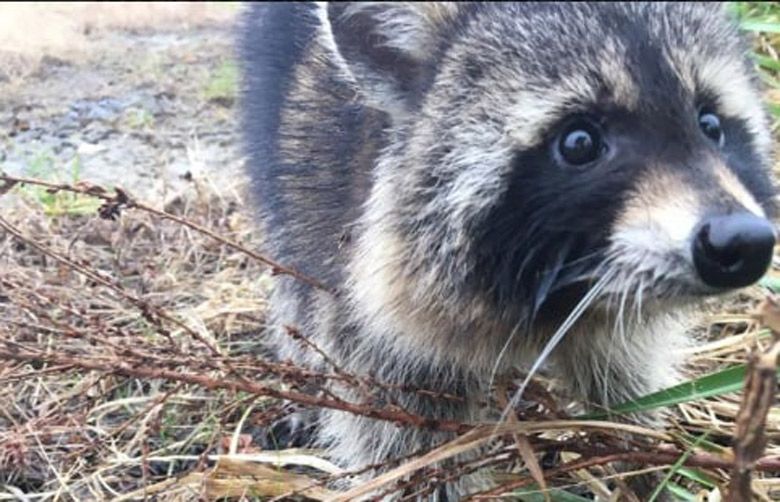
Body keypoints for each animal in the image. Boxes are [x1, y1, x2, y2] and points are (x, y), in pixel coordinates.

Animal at [239, 2, 777, 498]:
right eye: (578, 142)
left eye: (711, 124)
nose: (742, 240)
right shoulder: (360, 288)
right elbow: (403, 435)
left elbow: (625, 377)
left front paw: (642, 462)